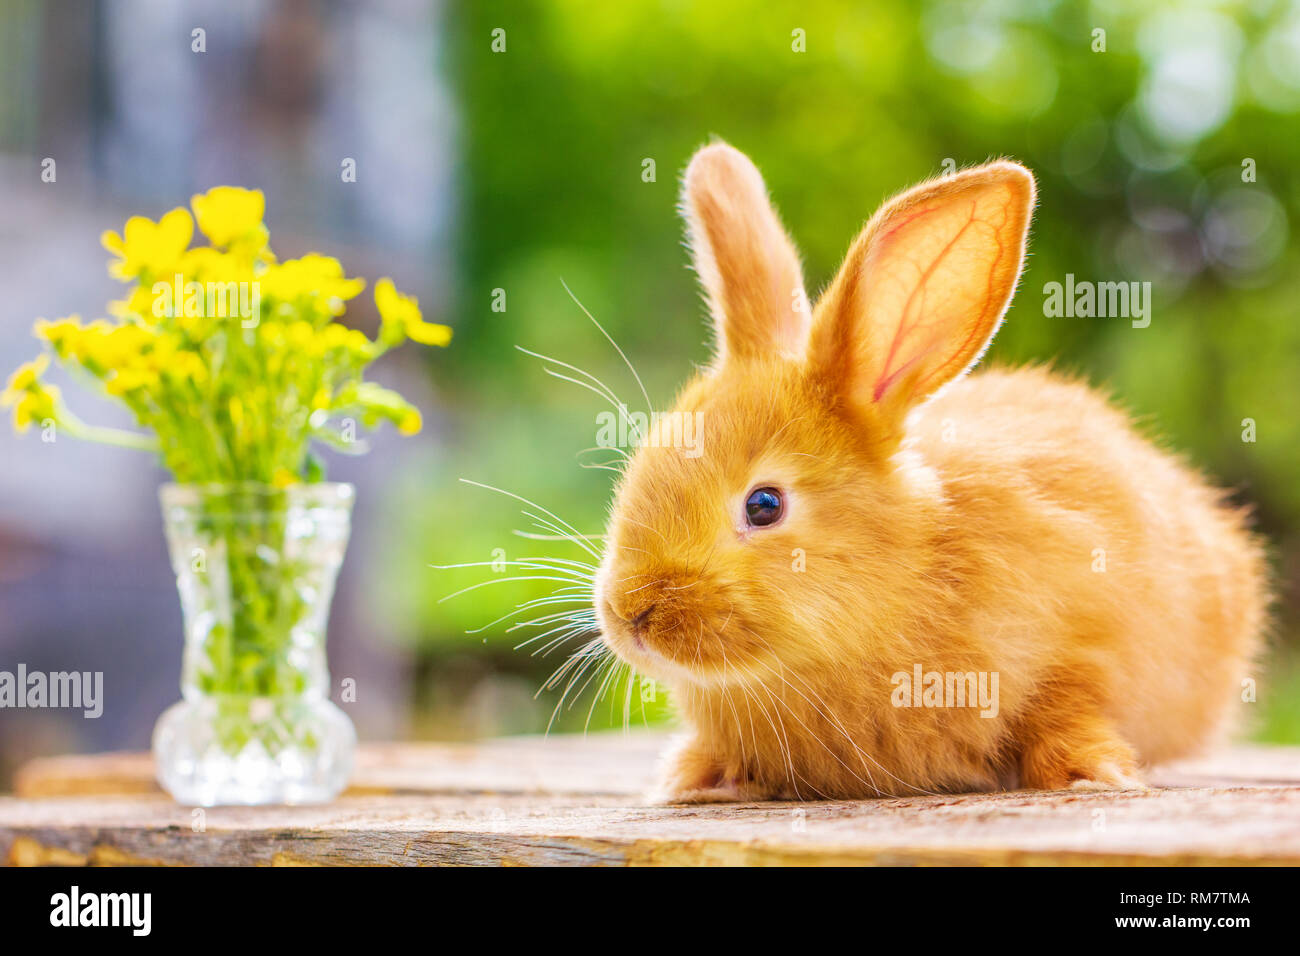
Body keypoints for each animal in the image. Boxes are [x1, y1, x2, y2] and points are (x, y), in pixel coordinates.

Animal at [592, 141, 1269, 803]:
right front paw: (692, 781)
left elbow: (1066, 711)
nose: (631, 612)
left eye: (764, 505)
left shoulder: (1085, 649)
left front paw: (1091, 774)